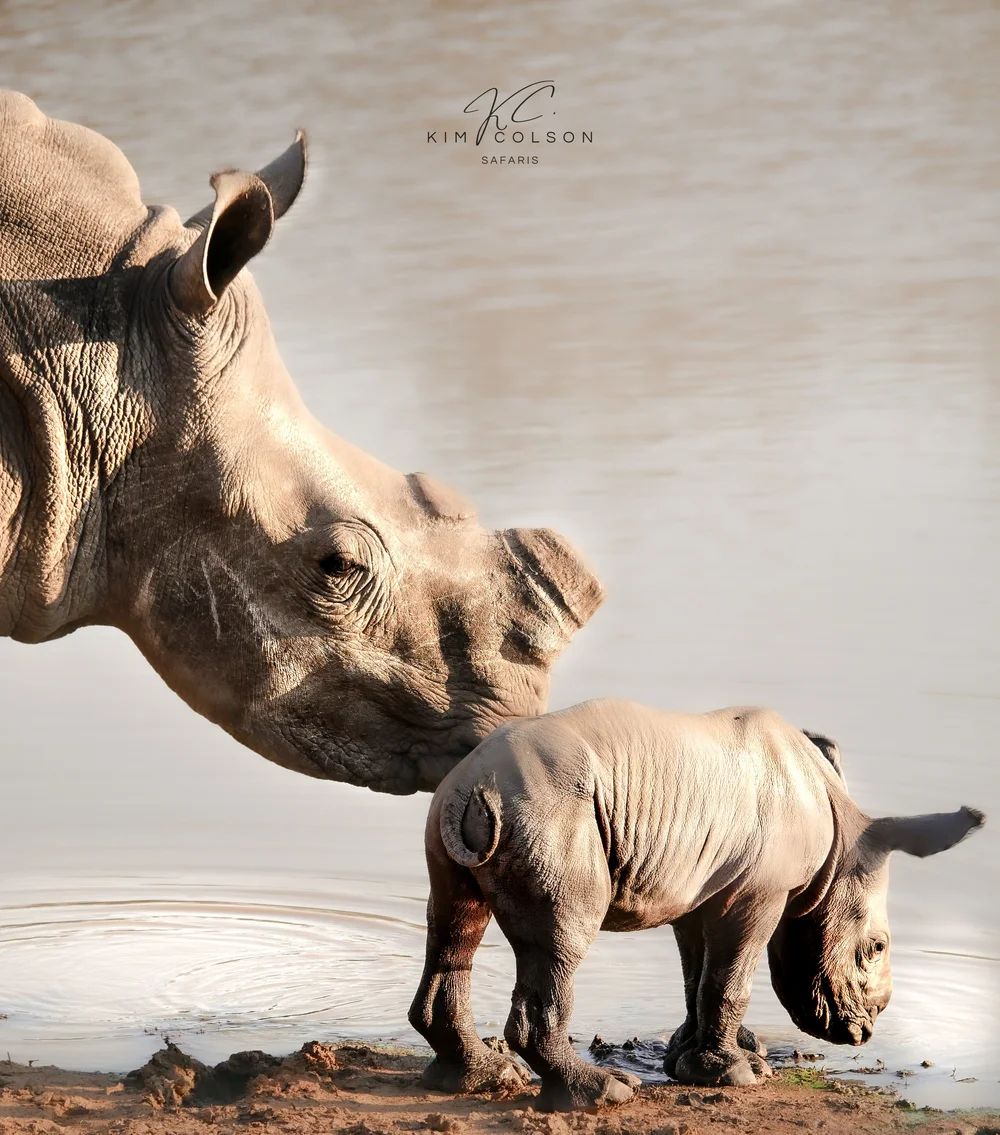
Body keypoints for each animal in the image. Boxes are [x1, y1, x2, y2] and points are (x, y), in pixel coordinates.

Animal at [409, 700, 984, 1110]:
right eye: (877, 947)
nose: (865, 1029)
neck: (841, 838)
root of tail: (472, 784)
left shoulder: (700, 888)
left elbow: (699, 972)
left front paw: (690, 1057)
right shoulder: (759, 893)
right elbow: (731, 978)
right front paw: (738, 1075)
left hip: (455, 817)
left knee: (455, 925)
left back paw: (477, 1079)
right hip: (548, 814)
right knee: (561, 940)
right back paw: (604, 1094)